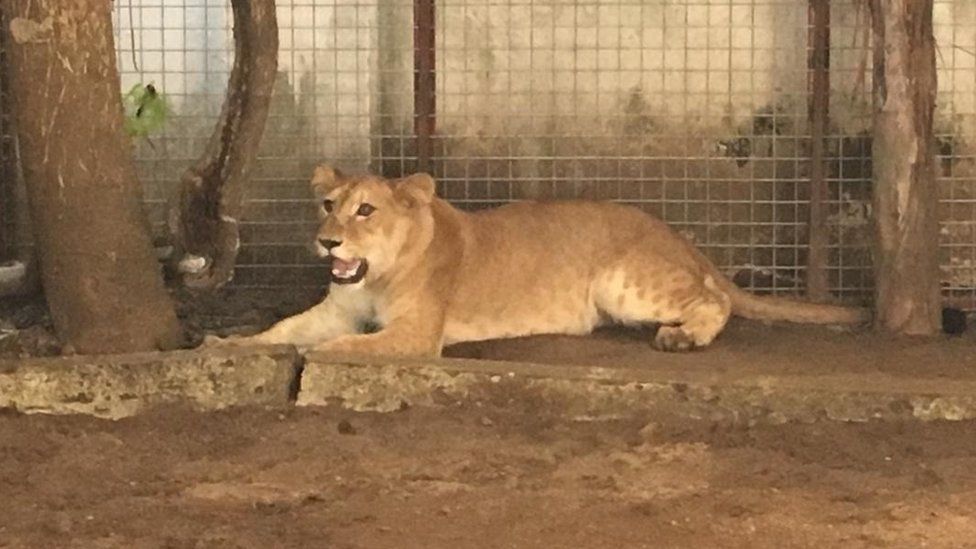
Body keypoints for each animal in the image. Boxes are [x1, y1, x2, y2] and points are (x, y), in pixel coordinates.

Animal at [210, 165, 869, 357]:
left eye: (365, 210)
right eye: (328, 205)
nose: (328, 243)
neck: (377, 274)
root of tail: (676, 234)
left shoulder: (417, 335)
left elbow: (339, 345)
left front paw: (312, 354)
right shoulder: (335, 308)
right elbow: (282, 328)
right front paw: (226, 344)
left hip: (623, 281)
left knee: (716, 298)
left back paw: (682, 337)